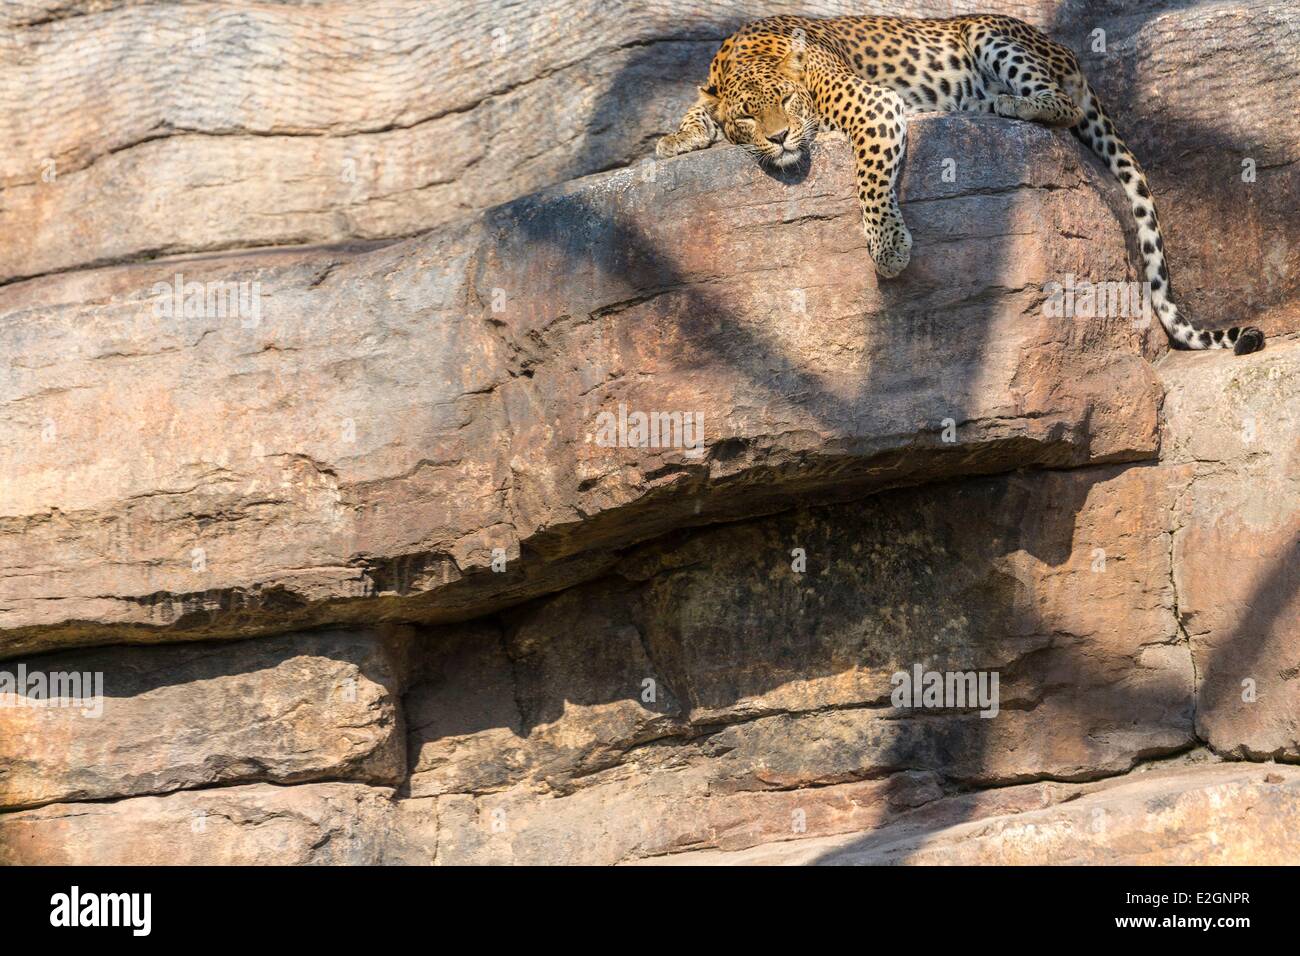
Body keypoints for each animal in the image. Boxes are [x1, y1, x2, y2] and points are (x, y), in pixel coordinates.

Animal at [656, 14, 1265, 355]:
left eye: (785, 100)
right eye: (747, 116)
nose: (780, 138)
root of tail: (1070, 55)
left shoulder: (875, 106)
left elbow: (870, 176)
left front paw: (888, 247)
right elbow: (697, 110)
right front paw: (675, 138)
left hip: (992, 36)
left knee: (1063, 106)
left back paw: (1007, 103)